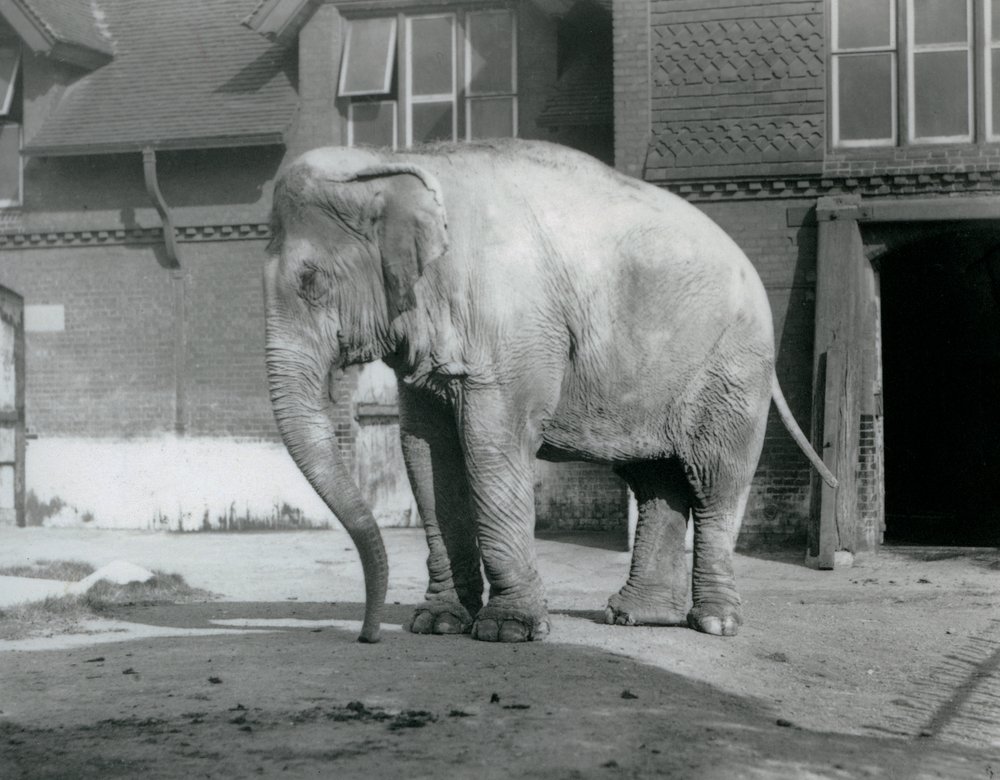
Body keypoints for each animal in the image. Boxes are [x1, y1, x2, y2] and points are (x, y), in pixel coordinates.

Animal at [263, 139, 836, 644]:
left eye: (312, 282)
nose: (368, 635)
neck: (396, 160)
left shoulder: (513, 332)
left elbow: (492, 445)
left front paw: (507, 631)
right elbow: (425, 452)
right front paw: (437, 624)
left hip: (731, 367)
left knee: (716, 479)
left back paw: (714, 623)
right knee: (657, 479)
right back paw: (636, 616)